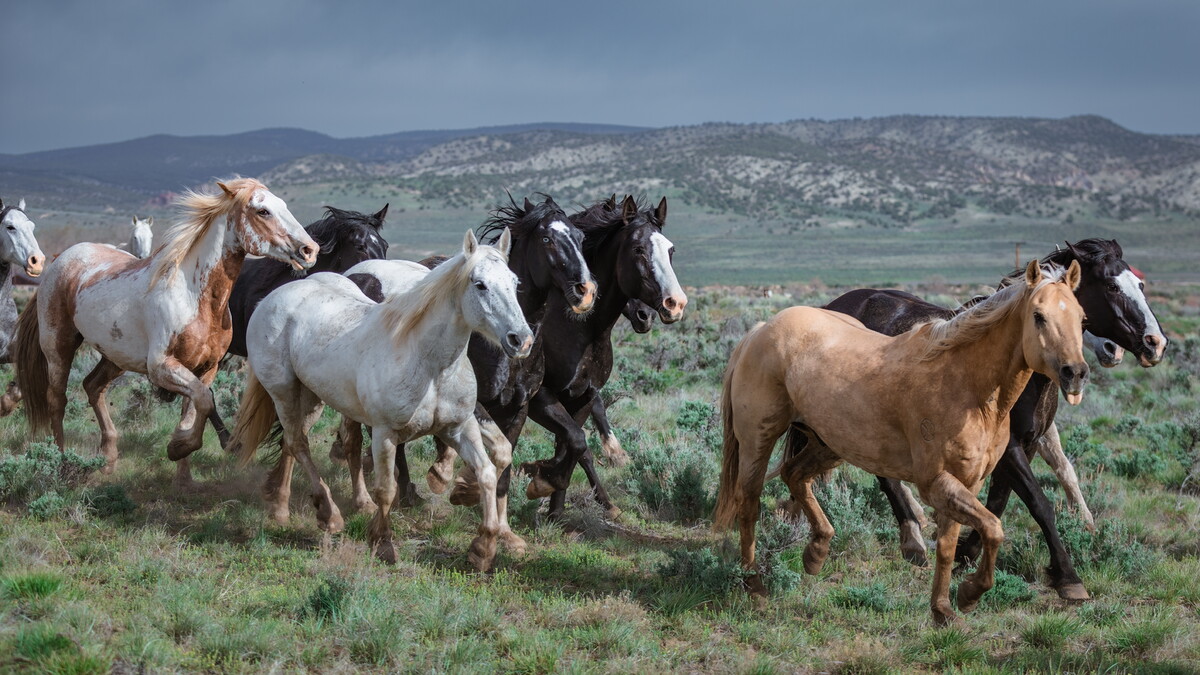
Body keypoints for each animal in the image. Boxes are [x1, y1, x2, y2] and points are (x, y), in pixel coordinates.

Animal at [13, 179, 317, 485]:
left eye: (283, 205)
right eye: (262, 210)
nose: (310, 249)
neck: (195, 297)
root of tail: (60, 260)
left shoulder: (205, 369)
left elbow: (194, 409)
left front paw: (183, 476)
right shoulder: (162, 367)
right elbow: (204, 402)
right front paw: (177, 448)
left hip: (115, 357)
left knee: (93, 386)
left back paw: (108, 460)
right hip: (58, 346)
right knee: (57, 400)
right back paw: (60, 459)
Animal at [228, 229, 533, 571]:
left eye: (514, 282)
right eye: (479, 284)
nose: (521, 340)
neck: (430, 366)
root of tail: (274, 297)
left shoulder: (459, 428)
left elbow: (488, 472)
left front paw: (483, 548)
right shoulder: (386, 433)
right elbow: (386, 490)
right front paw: (382, 544)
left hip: (312, 396)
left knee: (293, 442)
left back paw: (282, 507)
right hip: (283, 390)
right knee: (298, 443)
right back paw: (326, 515)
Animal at [715, 260, 1087, 626]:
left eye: (1082, 318)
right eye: (1038, 315)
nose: (1075, 373)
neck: (968, 388)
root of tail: (760, 330)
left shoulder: (967, 483)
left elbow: (950, 544)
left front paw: (943, 610)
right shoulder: (936, 483)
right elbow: (994, 529)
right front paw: (969, 594)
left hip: (830, 445)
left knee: (794, 475)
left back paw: (816, 553)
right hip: (758, 440)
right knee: (749, 504)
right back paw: (755, 586)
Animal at [809, 238, 1166, 601]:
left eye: (1140, 285)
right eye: (1110, 286)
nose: (1155, 343)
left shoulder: (1027, 443)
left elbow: (999, 500)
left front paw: (966, 554)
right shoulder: (1010, 448)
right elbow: (1039, 504)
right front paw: (1068, 577)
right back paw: (913, 542)